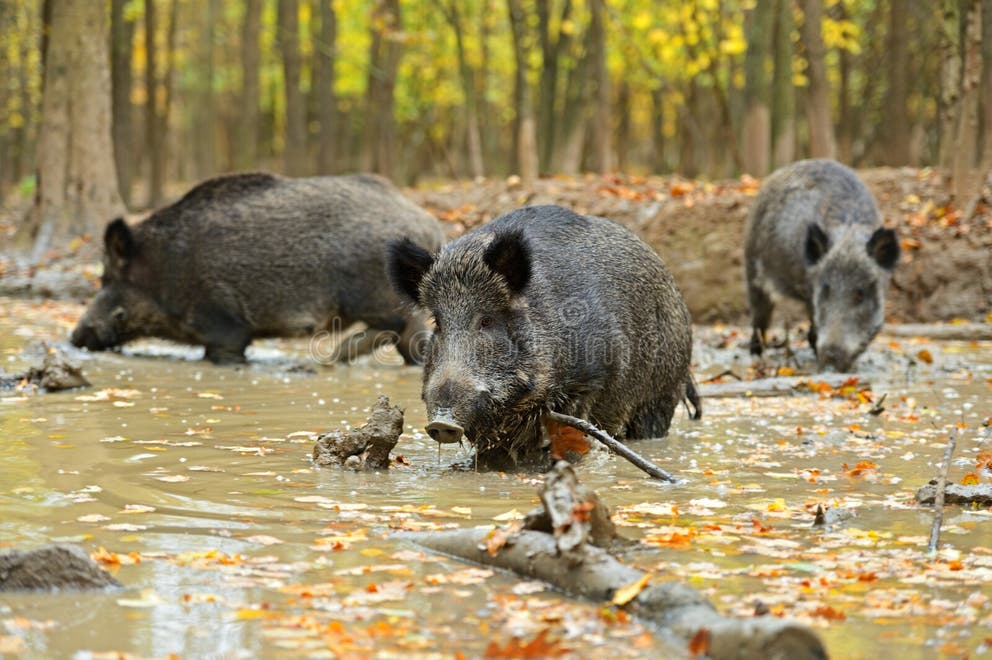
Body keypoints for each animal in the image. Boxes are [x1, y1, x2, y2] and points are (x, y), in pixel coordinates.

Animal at [71, 172, 443, 364]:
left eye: (107, 278)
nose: (75, 337)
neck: (164, 273)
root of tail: (429, 223)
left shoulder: (224, 326)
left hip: (373, 295)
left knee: (396, 328)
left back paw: (333, 357)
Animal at [744, 159, 900, 371]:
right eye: (826, 290)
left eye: (860, 294)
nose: (831, 356)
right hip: (753, 270)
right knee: (759, 316)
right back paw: (756, 356)